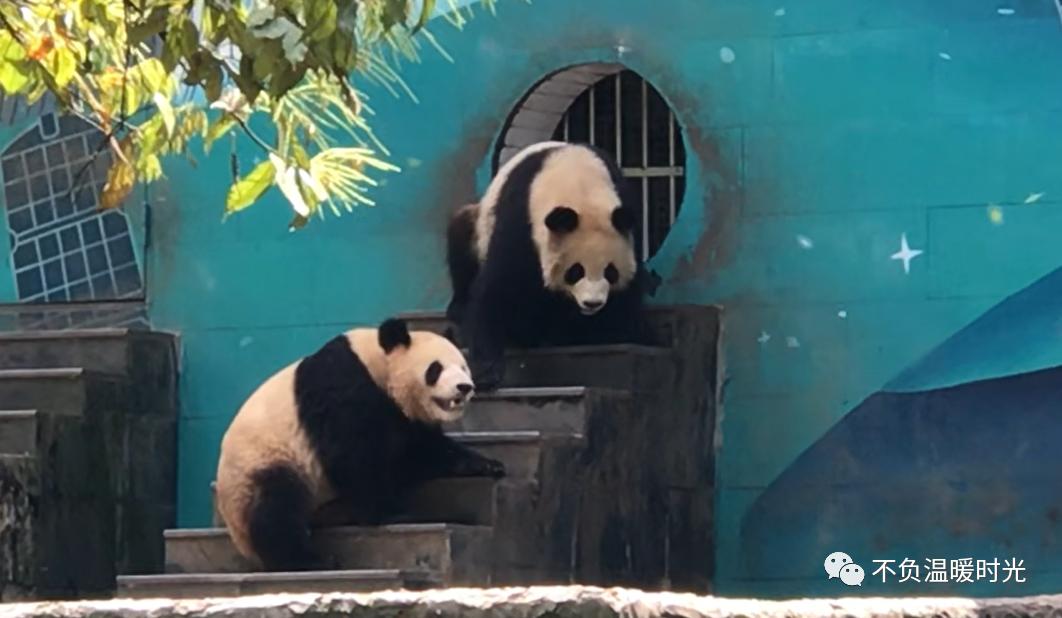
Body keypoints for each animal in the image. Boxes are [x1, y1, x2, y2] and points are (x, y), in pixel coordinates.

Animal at [214, 318, 506, 572]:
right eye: (436, 369)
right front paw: (393, 513)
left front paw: (488, 465)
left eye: (464, 367)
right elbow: (354, 457)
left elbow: (421, 450)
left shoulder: (400, 416)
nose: (464, 387)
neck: (377, 362)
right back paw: (309, 561)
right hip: (261, 464)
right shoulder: (343, 388)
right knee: (276, 506)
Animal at [446, 141, 651, 389]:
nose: (592, 303)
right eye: (575, 271)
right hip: (477, 226)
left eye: (610, 272)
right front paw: (487, 372)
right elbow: (496, 288)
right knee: (460, 237)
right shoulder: (520, 221)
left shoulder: (626, 222)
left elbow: (628, 291)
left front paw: (613, 333)